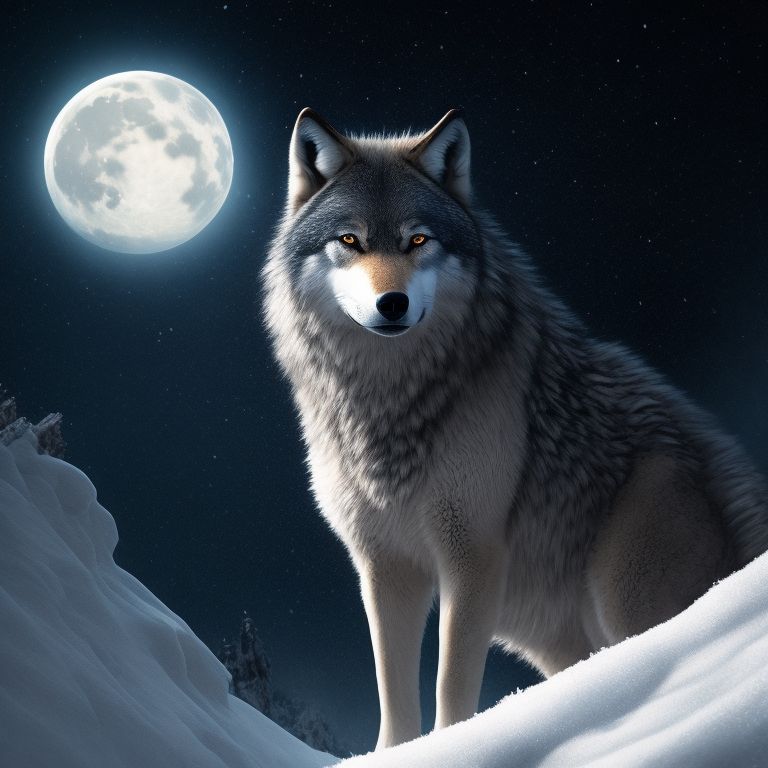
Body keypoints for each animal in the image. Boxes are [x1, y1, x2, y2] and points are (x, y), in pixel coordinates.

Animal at [262, 107, 768, 750]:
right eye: (350, 240)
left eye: (418, 240)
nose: (391, 303)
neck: (390, 403)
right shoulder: (384, 566)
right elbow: (395, 699)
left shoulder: (472, 556)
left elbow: (452, 688)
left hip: (624, 603)